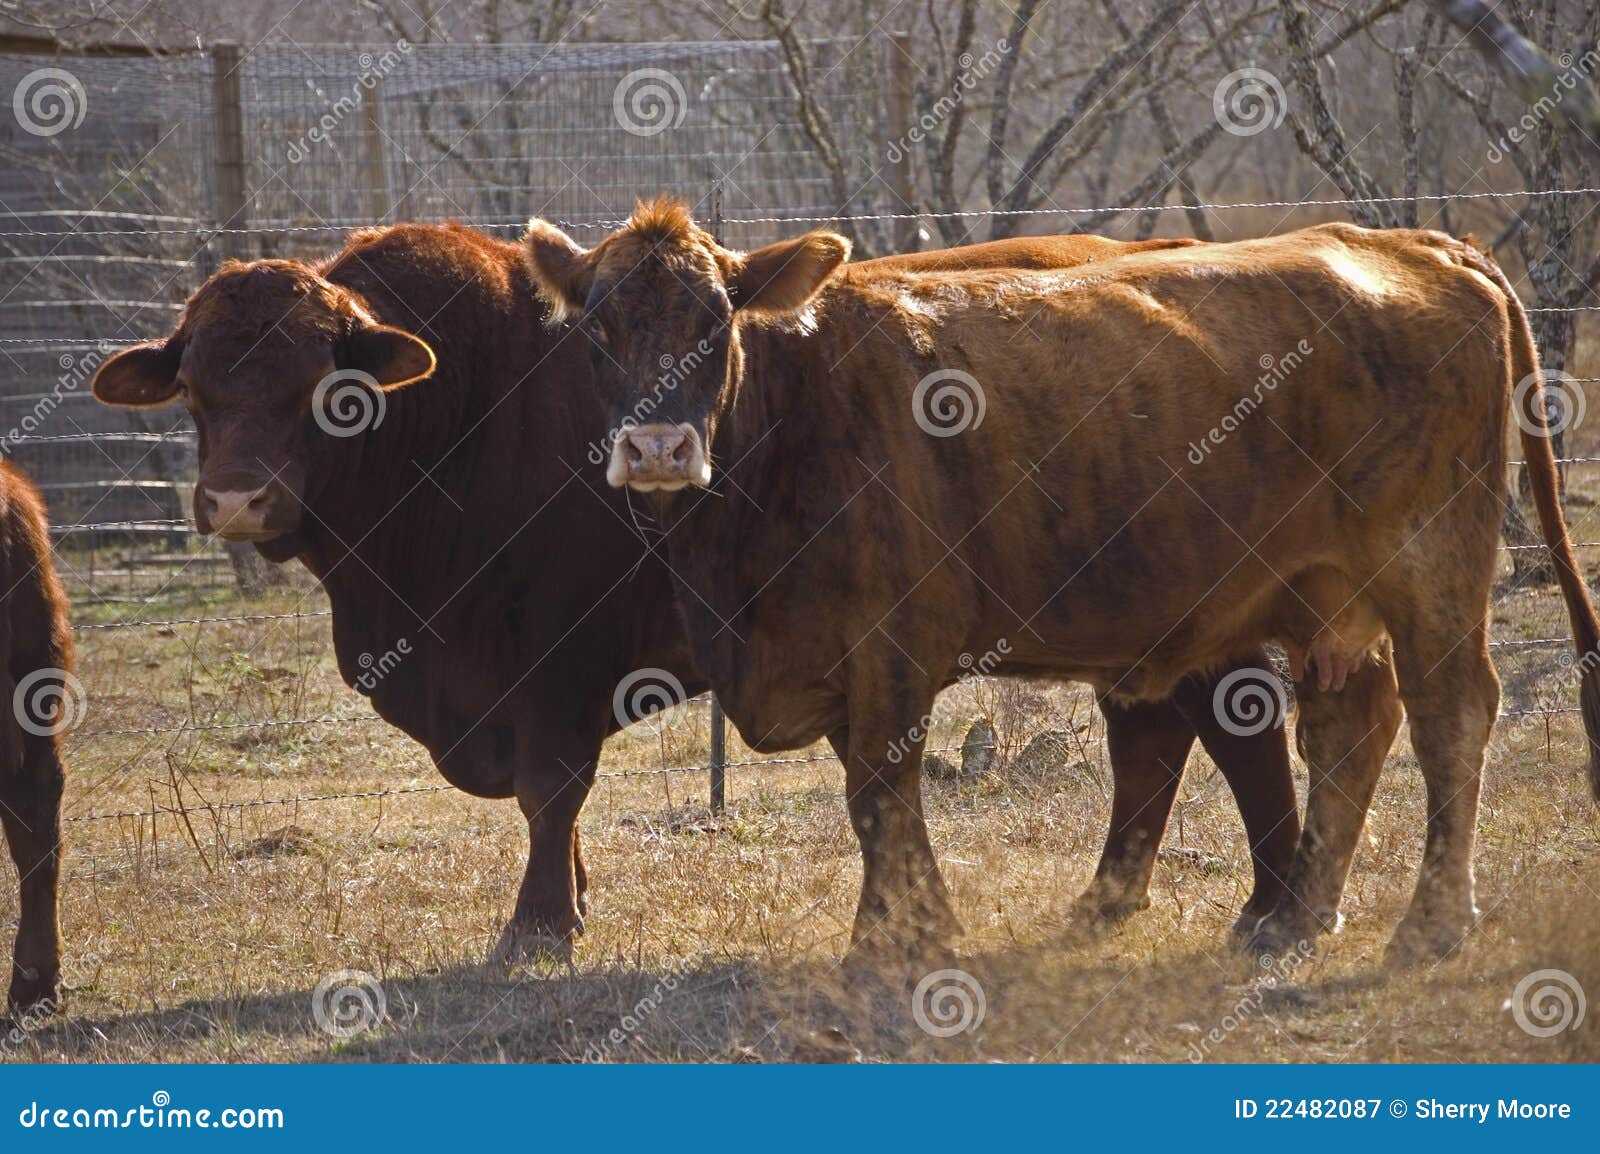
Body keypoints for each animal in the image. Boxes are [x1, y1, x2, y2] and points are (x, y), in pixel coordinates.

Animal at [89, 222, 1294, 964]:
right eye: (195, 385)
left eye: (326, 387)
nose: (236, 499)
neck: (467, 412)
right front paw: (571, 897)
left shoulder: (559, 658)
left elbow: (550, 788)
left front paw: (539, 923)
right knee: (1157, 735)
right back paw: (1130, 903)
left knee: (1231, 728)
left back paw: (1272, 906)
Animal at [522, 198, 1600, 965]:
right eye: (597, 329)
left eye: (717, 322)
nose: (658, 449)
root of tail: (1409, 241)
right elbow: (877, 803)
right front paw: (918, 924)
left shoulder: (893, 648)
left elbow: (879, 792)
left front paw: (893, 941)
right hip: (1322, 592)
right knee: (1348, 726)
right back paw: (1295, 918)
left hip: (1431, 568)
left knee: (1451, 715)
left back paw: (1430, 923)